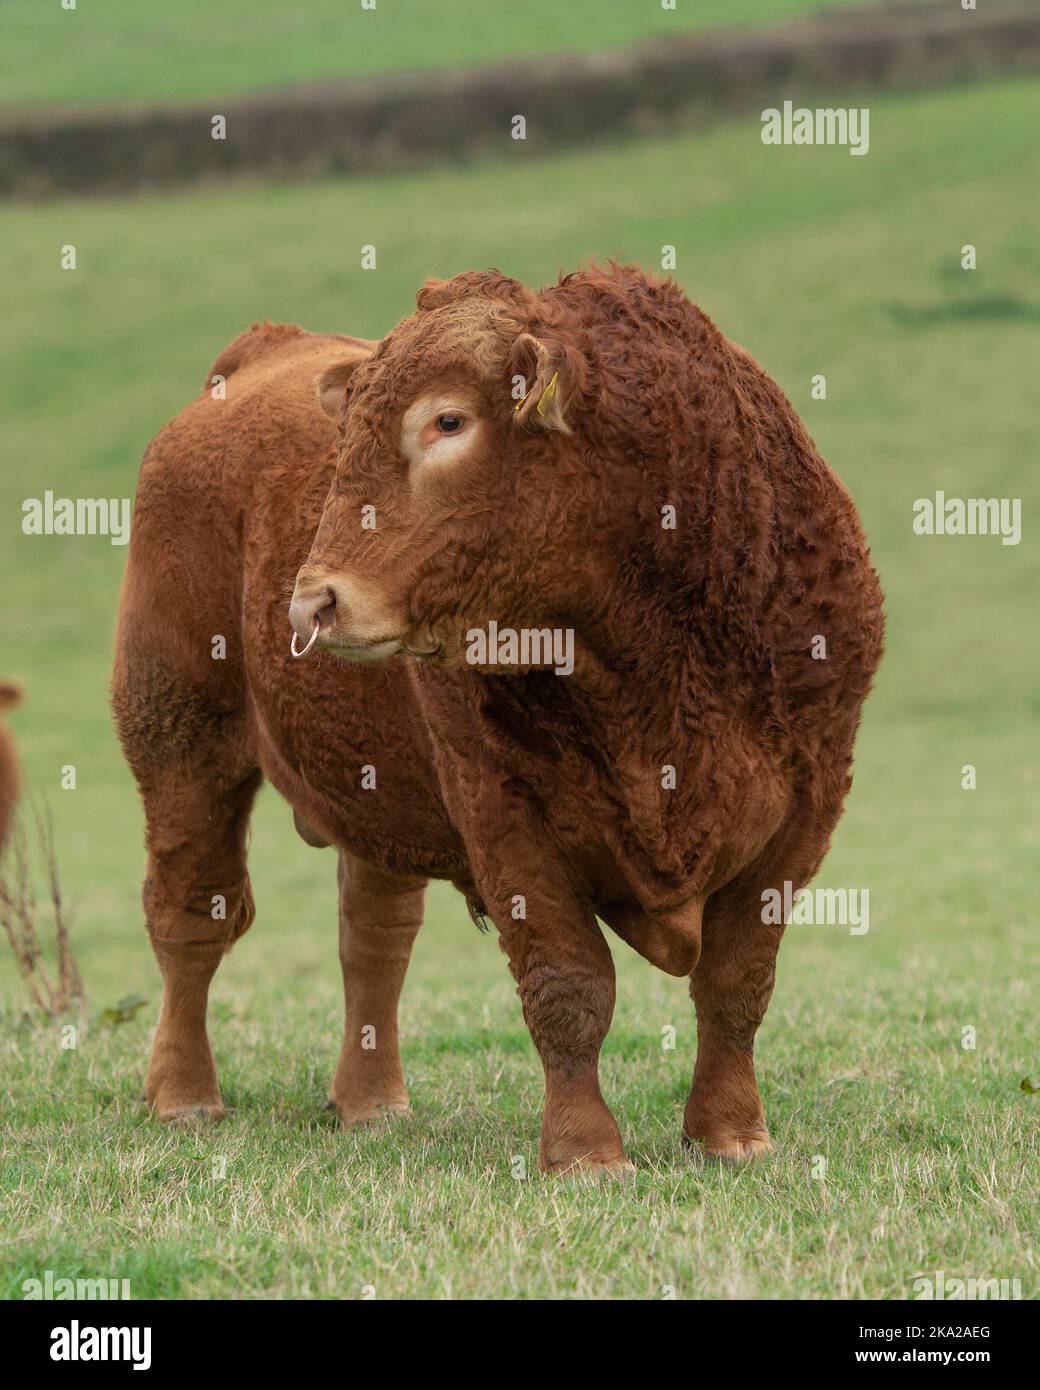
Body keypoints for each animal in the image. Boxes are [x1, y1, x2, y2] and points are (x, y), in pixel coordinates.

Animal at [113, 264, 883, 1175]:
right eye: (349, 438)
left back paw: (370, 1103)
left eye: (448, 420)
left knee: (373, 935)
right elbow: (569, 983)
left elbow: (736, 983)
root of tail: (258, 355)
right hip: (180, 739)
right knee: (190, 916)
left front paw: (731, 1135)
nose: (313, 603)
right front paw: (585, 1152)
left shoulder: (805, 806)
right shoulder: (504, 809)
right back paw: (184, 1095)